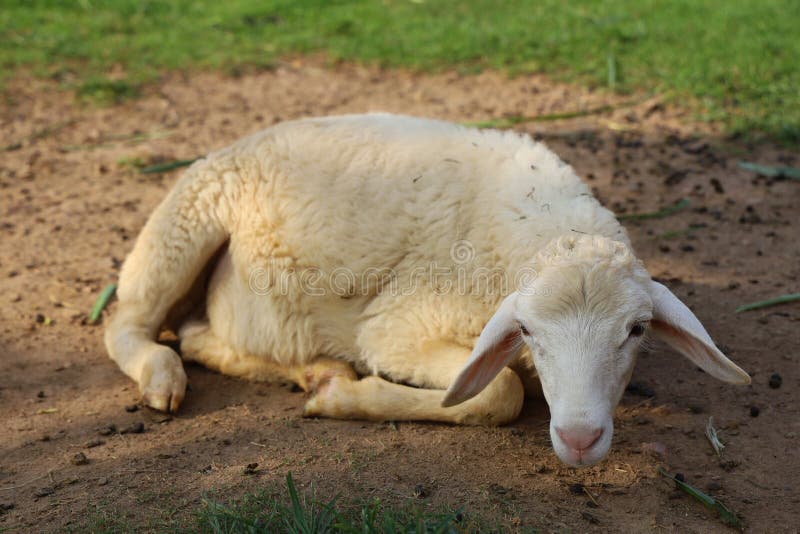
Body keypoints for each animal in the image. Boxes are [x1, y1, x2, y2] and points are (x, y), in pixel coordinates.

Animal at [105, 113, 750, 467]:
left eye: (637, 330)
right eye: (527, 331)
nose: (580, 438)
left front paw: (333, 390)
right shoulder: (397, 329)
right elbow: (499, 393)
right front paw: (348, 400)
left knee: (199, 332)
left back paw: (311, 369)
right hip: (184, 220)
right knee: (129, 323)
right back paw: (165, 378)